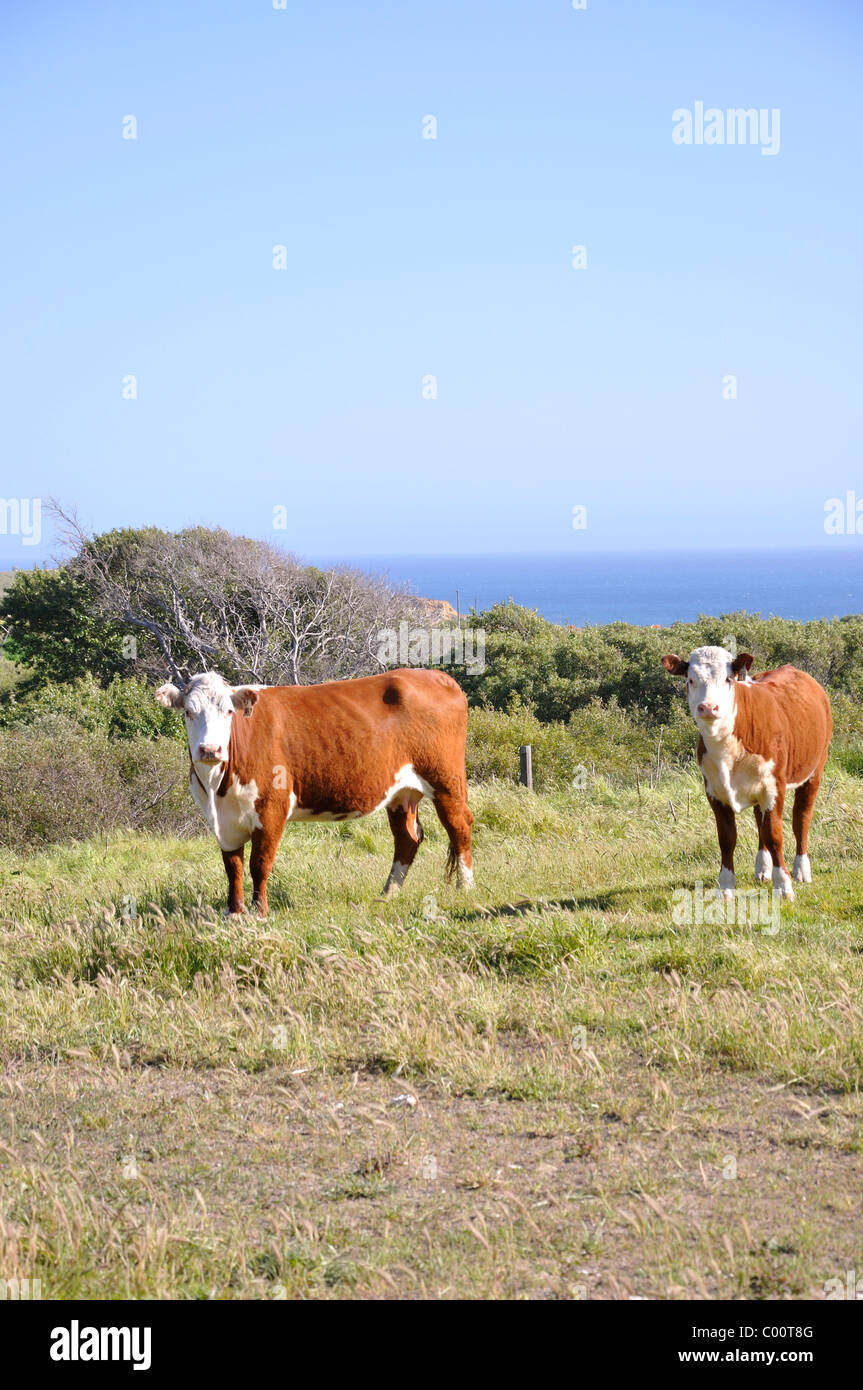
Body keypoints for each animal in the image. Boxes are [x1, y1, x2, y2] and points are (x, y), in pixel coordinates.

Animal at [155, 668, 474, 916]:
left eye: (229, 711)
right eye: (188, 712)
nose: (210, 749)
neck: (217, 788)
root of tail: (435, 676)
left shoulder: (271, 809)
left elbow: (259, 864)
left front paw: (259, 912)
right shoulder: (223, 822)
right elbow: (232, 867)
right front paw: (233, 913)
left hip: (447, 780)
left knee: (459, 826)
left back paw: (465, 887)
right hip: (401, 793)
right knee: (407, 838)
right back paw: (388, 894)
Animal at [661, 646, 832, 901]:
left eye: (728, 679)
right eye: (690, 680)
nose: (708, 707)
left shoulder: (773, 787)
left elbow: (774, 835)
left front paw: (784, 886)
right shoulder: (714, 791)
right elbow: (727, 838)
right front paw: (725, 886)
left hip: (814, 771)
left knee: (801, 818)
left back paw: (801, 870)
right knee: (760, 822)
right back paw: (762, 869)